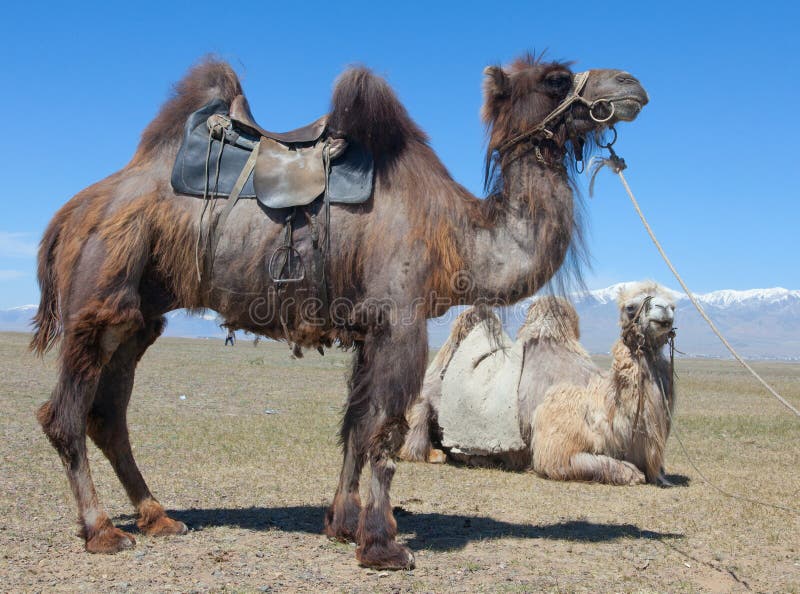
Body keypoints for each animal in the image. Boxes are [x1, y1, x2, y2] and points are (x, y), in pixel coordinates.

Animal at [31, 55, 648, 568]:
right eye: (557, 79)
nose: (632, 84)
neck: (456, 232)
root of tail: (68, 213)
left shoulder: (370, 329)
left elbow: (355, 424)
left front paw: (344, 524)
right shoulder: (401, 320)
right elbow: (383, 431)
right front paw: (382, 545)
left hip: (140, 314)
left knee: (109, 414)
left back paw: (158, 517)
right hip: (97, 297)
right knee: (65, 414)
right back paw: (102, 530)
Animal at [401, 282, 677, 486]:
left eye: (673, 303)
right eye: (631, 307)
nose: (665, 311)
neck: (604, 406)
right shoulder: (555, 443)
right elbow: (613, 468)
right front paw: (633, 473)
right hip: (418, 403)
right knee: (412, 443)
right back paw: (437, 454)